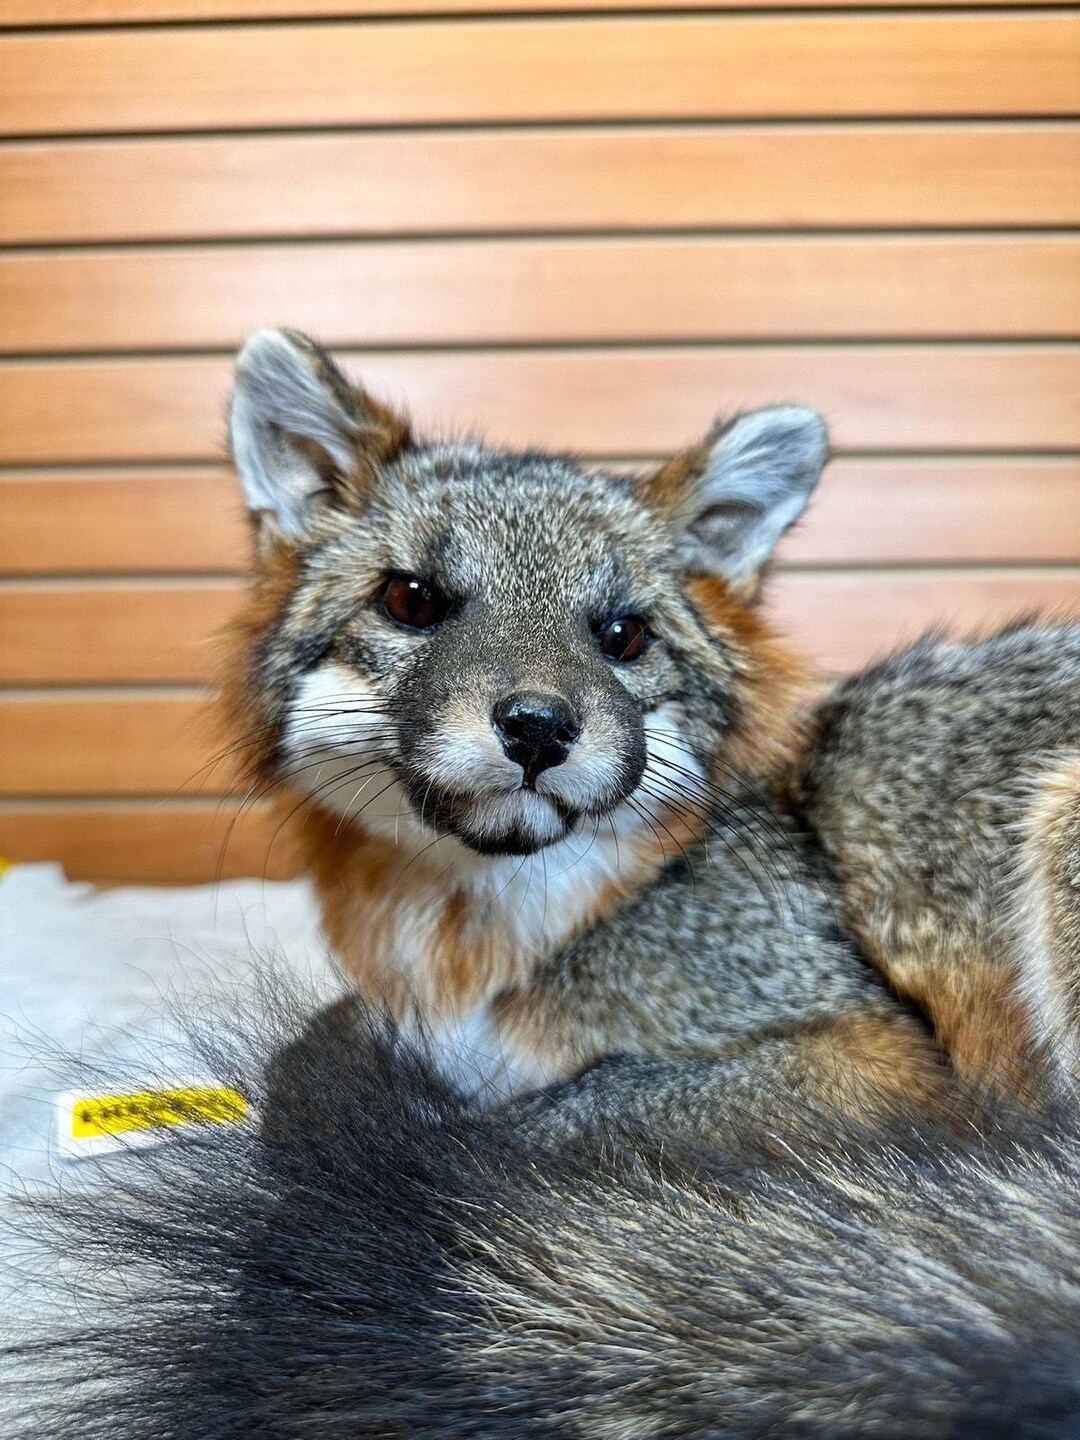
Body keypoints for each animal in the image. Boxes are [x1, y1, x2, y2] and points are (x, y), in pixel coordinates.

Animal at [222, 326, 1080, 1144]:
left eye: (624, 635)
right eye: (412, 599)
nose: (538, 728)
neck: (471, 962)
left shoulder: (876, 1050)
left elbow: (553, 1116)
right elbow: (303, 1059)